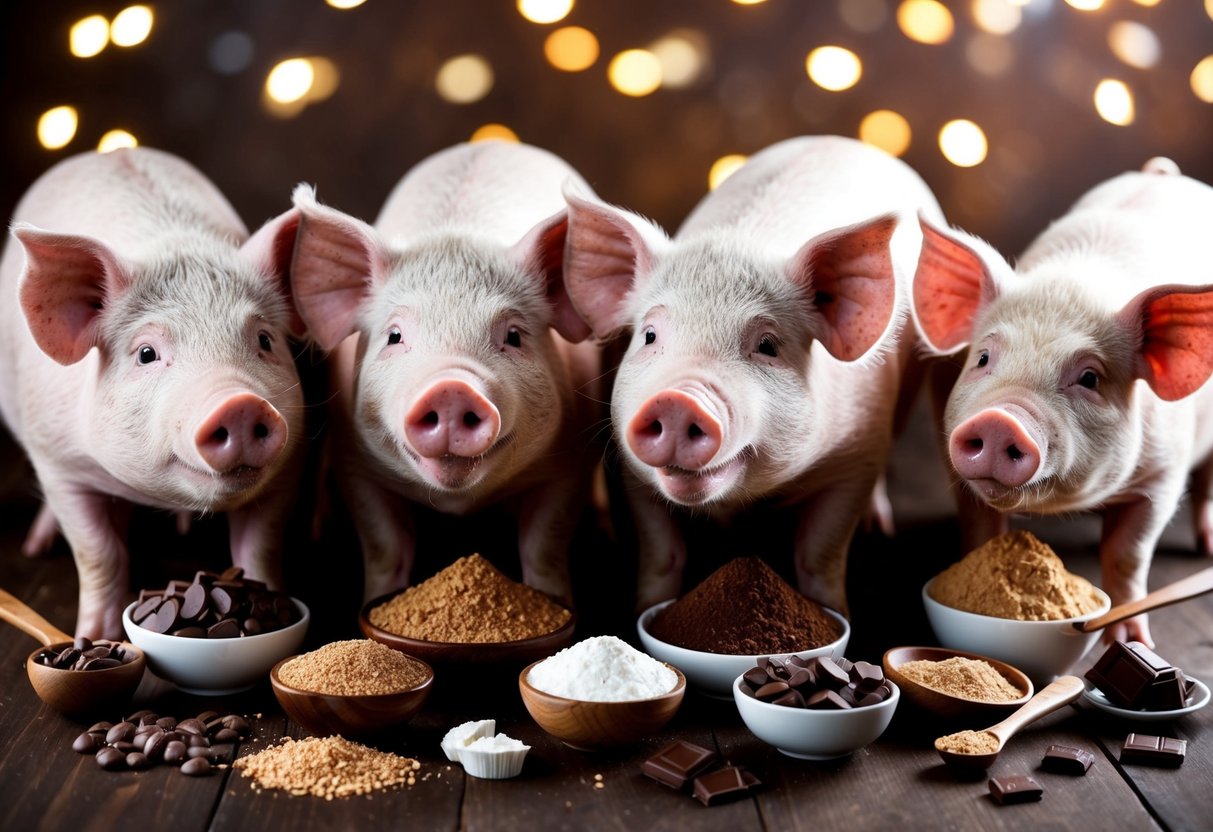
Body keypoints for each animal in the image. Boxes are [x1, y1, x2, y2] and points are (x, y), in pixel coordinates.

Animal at [0, 147, 305, 639]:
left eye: (264, 340)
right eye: (146, 353)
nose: (239, 404)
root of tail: (116, 149)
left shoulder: (289, 463)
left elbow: (260, 548)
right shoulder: (57, 462)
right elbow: (98, 553)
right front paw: (93, 638)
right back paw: (36, 546)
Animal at [288, 140, 600, 604]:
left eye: (513, 335)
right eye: (394, 336)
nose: (451, 388)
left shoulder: (572, 463)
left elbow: (544, 546)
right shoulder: (354, 463)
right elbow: (384, 547)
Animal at [561, 135, 945, 615]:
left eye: (767, 346)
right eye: (649, 336)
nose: (676, 400)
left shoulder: (858, 455)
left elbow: (819, 555)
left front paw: (832, 610)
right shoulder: (632, 470)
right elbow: (662, 555)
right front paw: (646, 609)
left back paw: (880, 526)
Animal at [910, 157, 1213, 646]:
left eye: (1089, 378)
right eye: (984, 357)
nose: (999, 420)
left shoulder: (1163, 476)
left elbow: (1128, 554)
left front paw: (1128, 640)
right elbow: (980, 529)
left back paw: (1206, 546)